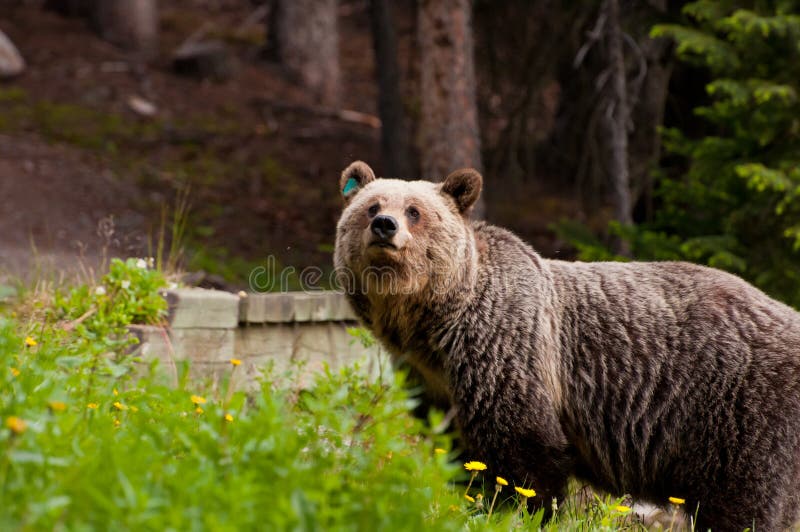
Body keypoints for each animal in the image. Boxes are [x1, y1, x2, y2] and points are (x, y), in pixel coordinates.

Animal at [333, 160, 800, 531]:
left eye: (414, 211)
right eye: (372, 206)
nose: (385, 226)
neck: (435, 323)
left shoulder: (508, 349)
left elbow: (524, 453)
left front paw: (521, 511)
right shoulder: (431, 379)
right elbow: (461, 453)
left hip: (738, 406)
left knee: (742, 498)